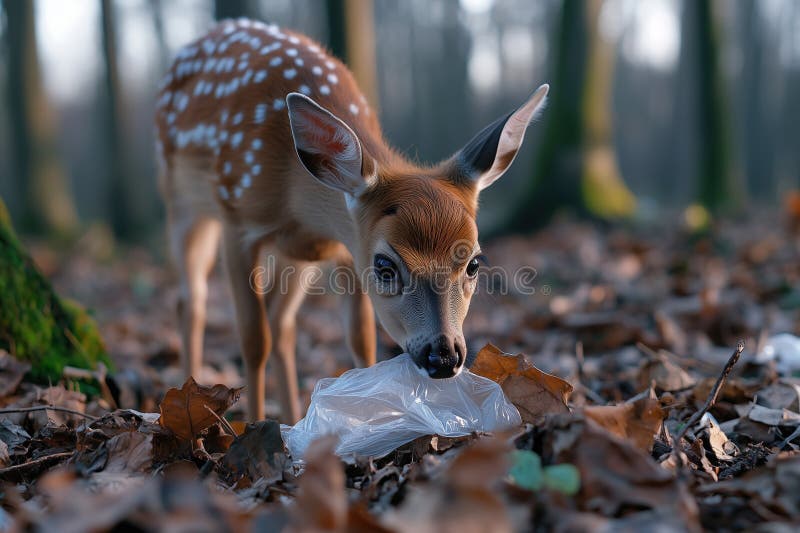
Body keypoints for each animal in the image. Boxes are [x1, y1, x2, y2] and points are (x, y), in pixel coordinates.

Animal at [155, 18, 549, 423]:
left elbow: (361, 338)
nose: (444, 356)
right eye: (385, 266)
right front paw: (252, 426)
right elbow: (252, 339)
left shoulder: (345, 248)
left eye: (474, 263)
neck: (293, 195)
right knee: (192, 301)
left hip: (301, 256)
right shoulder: (239, 221)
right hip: (181, 200)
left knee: (281, 322)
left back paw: (293, 420)